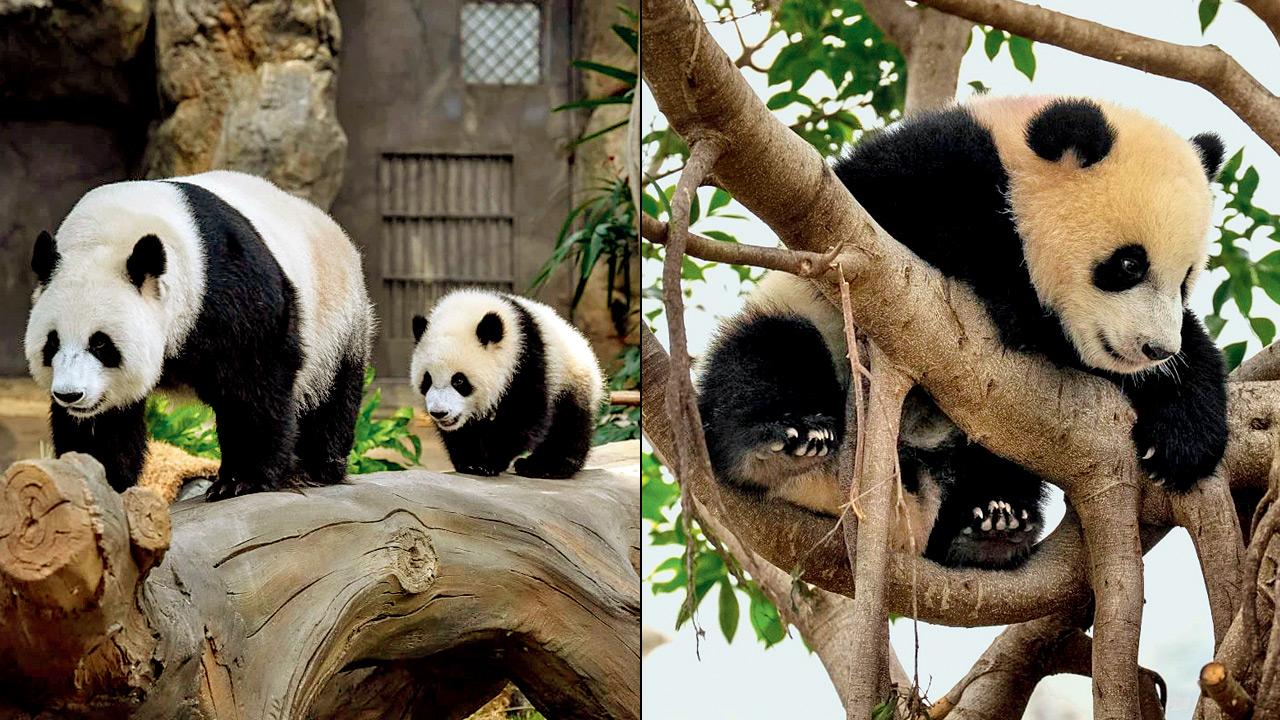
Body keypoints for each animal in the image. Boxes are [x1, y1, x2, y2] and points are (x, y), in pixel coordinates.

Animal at [25, 170, 375, 500]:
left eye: (100, 343)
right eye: (52, 343)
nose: (71, 395)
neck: (108, 237)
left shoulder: (225, 285)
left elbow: (253, 381)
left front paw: (241, 480)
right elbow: (105, 425)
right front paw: (100, 482)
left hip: (336, 320)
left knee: (329, 394)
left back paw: (318, 467)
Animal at [409, 288, 604, 479]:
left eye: (458, 380)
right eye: (427, 380)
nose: (439, 413)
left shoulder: (527, 360)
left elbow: (524, 414)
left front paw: (489, 461)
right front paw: (471, 462)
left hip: (570, 377)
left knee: (568, 425)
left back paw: (544, 466)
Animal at [696, 96, 1228, 569]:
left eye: (1186, 278)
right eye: (1128, 264)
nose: (1155, 348)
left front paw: (1183, 440)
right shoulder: (927, 168)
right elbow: (884, 218)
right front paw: (1019, 302)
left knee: (995, 465)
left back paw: (992, 521)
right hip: (804, 329)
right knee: (765, 357)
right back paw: (782, 444)